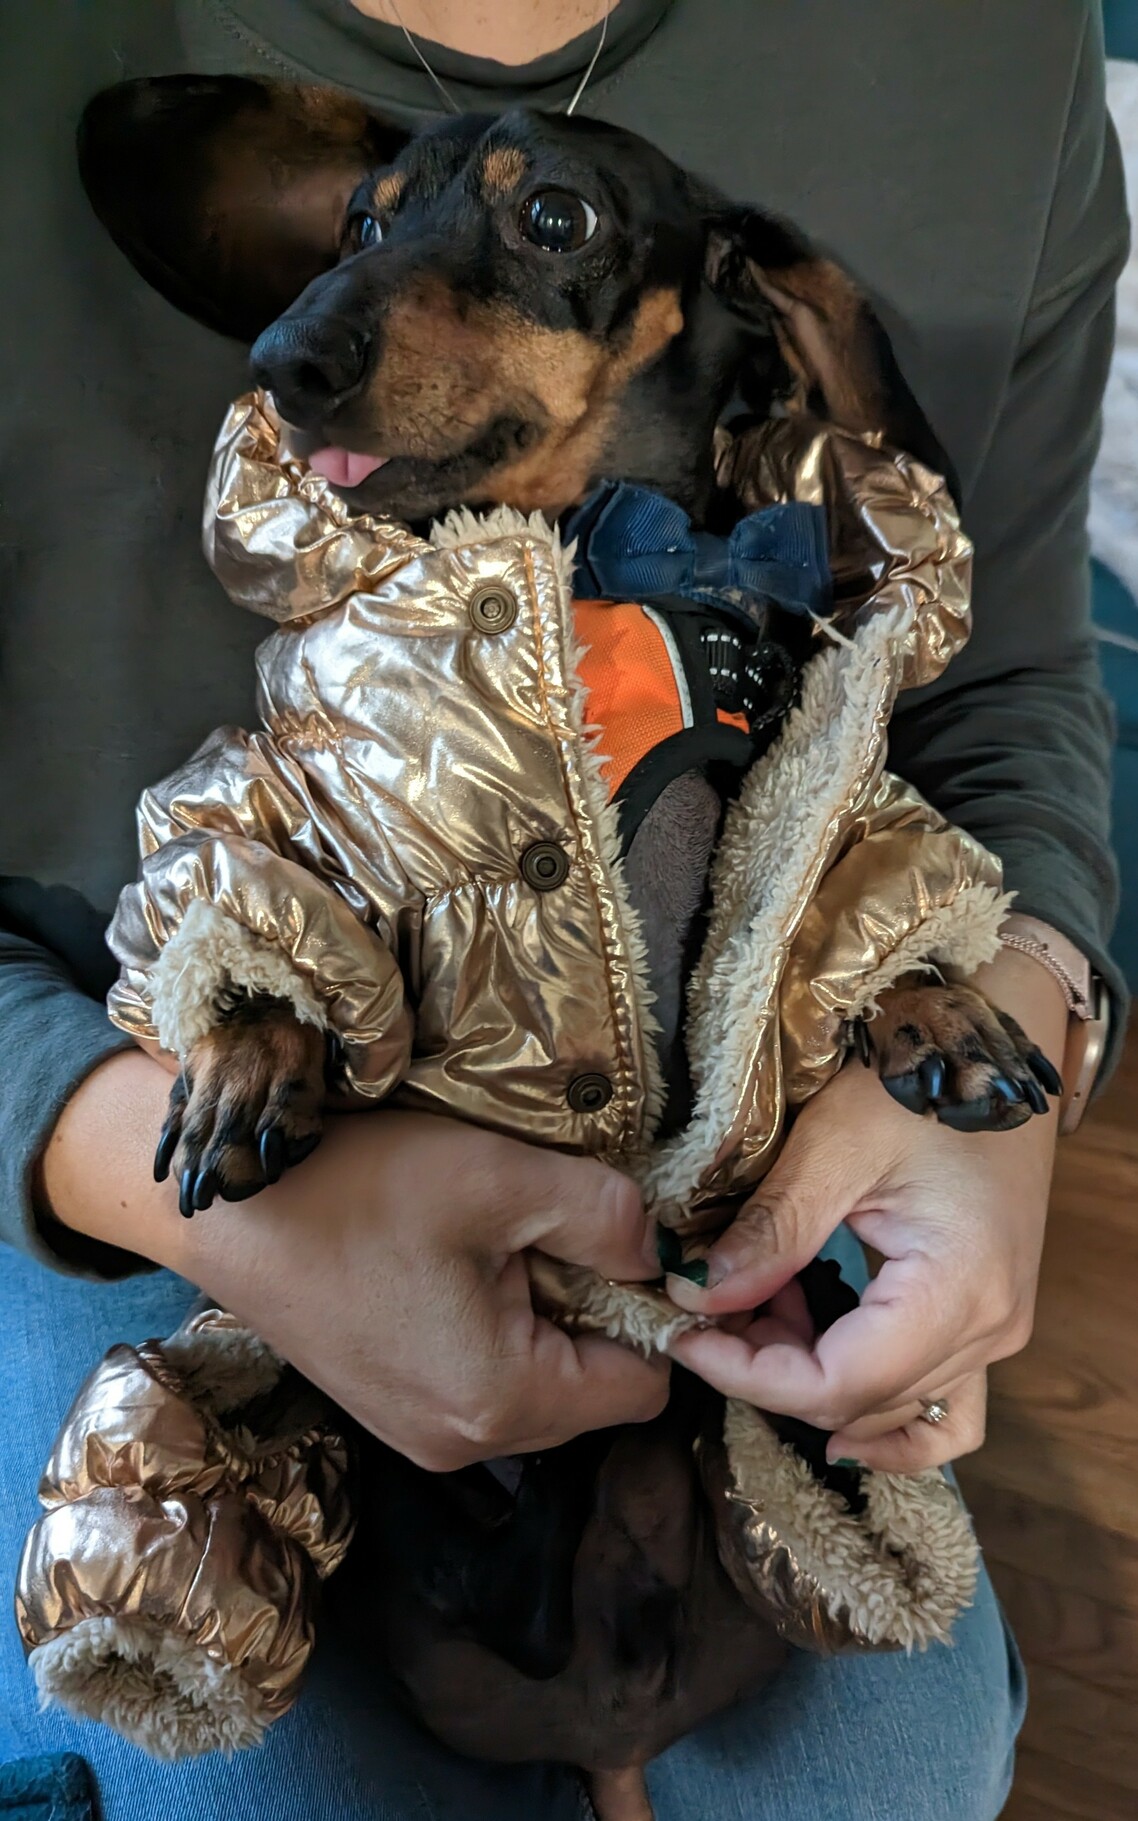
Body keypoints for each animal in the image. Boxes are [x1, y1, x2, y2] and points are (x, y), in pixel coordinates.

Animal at [77, 81, 1056, 1821]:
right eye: (360, 219)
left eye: (557, 218)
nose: (283, 351)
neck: (602, 559)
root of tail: (612, 1724)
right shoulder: (304, 789)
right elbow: (249, 866)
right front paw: (249, 1046)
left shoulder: (802, 777)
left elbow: (851, 879)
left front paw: (935, 1006)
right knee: (497, 1546)